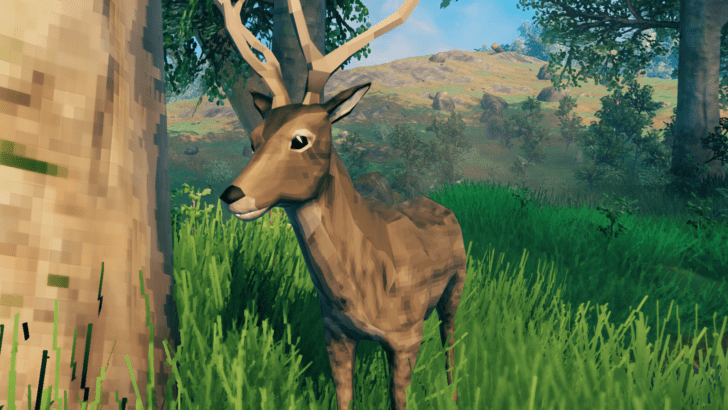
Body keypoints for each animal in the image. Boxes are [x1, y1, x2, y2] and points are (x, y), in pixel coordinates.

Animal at [216, 0, 467, 408]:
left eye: (300, 139)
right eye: (255, 138)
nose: (232, 196)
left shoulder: (407, 336)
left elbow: (399, 399)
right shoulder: (335, 333)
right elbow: (343, 397)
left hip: (456, 286)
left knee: (450, 341)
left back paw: (454, 393)